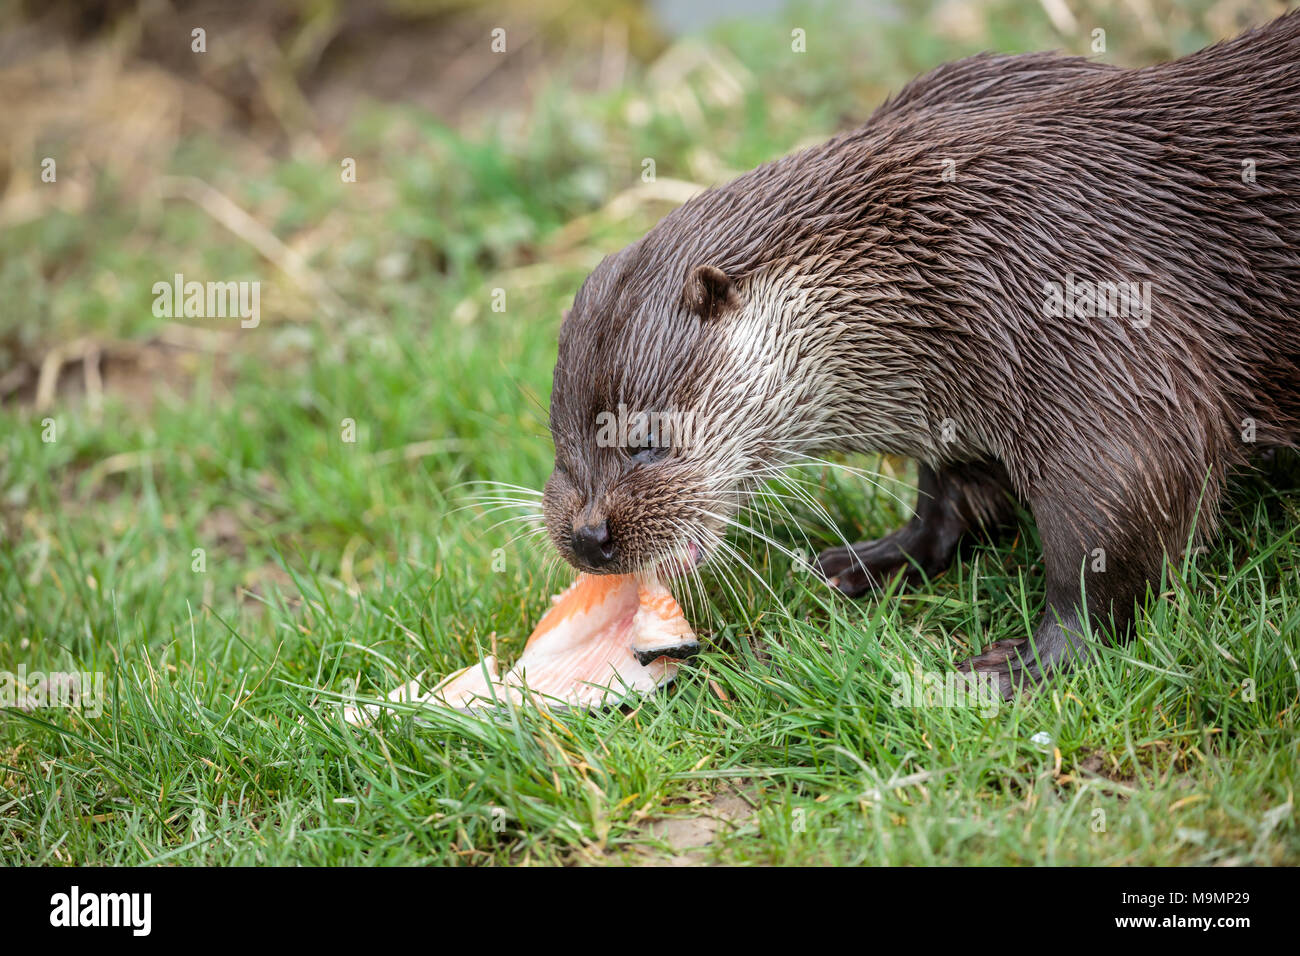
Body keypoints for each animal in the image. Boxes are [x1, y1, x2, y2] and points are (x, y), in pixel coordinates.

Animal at [542, 13, 1300, 698]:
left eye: (646, 440)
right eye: (558, 441)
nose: (586, 536)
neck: (936, 262)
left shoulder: (1090, 312)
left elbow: (1124, 513)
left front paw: (1030, 664)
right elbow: (951, 491)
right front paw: (874, 559)